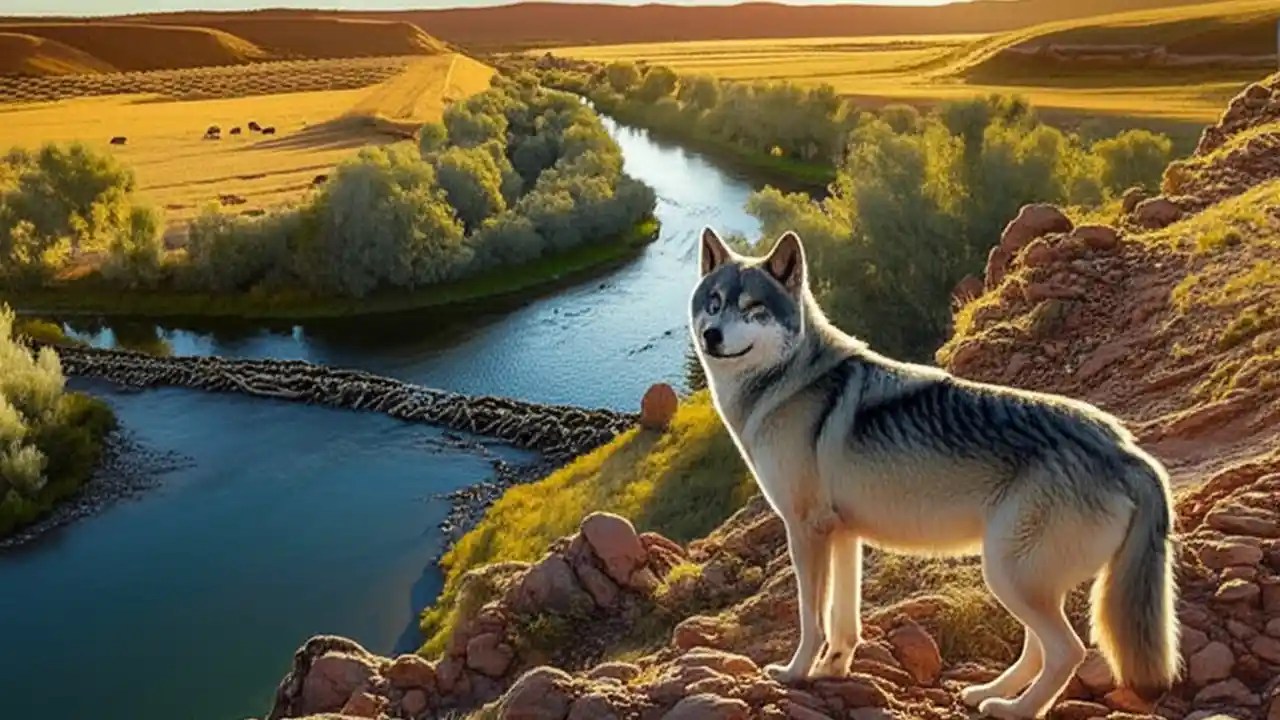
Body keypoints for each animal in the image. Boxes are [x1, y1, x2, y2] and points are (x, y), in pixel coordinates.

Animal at [689, 227, 1179, 720]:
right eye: (714, 302)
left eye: (753, 308)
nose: (712, 335)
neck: (788, 384)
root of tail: (1128, 451)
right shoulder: (844, 535)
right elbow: (844, 624)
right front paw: (833, 670)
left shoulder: (807, 530)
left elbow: (812, 619)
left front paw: (795, 673)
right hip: (1018, 578)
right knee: (1038, 650)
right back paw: (988, 694)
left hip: (1007, 574)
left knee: (1067, 652)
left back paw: (1014, 709)